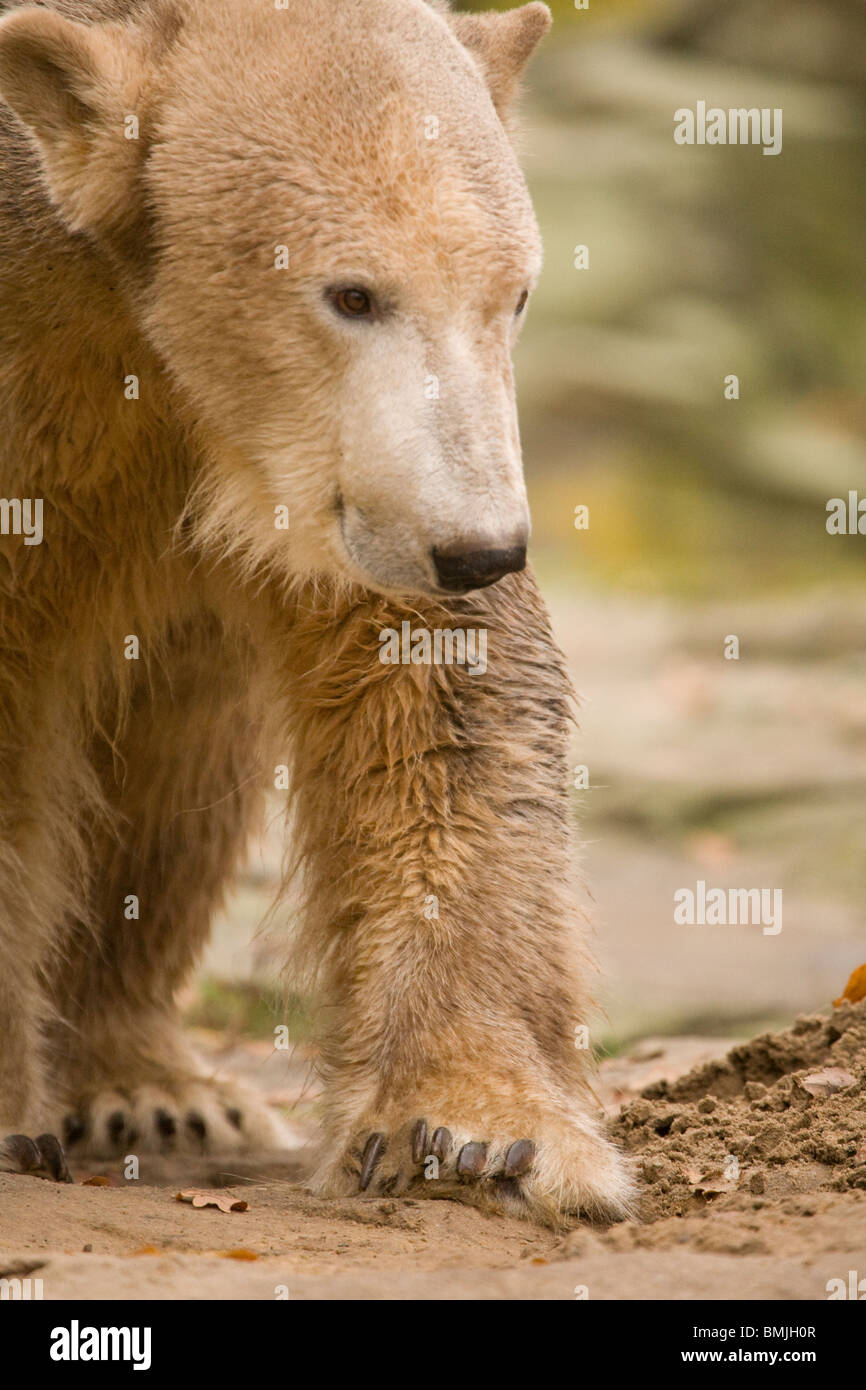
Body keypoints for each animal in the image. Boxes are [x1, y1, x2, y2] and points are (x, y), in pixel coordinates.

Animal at [0, 0, 632, 1225]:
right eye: (352, 294)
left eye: (516, 293)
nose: (478, 548)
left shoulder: (332, 485)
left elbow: (431, 702)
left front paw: (472, 1130)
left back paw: (154, 1088)